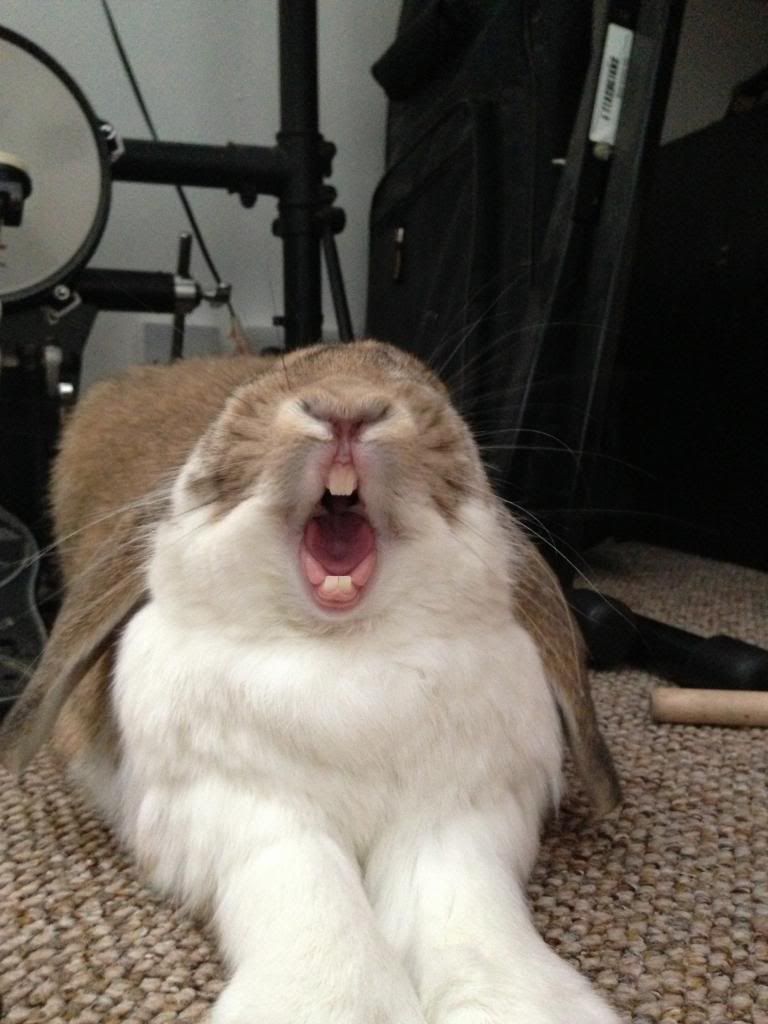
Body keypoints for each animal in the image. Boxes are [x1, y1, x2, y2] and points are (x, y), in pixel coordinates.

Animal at [0, 339, 621, 1024]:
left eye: (431, 392)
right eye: (259, 389)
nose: (346, 407)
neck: (342, 650)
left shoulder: (456, 815)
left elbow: (468, 905)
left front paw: (527, 1002)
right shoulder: (237, 804)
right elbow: (306, 882)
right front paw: (328, 1001)